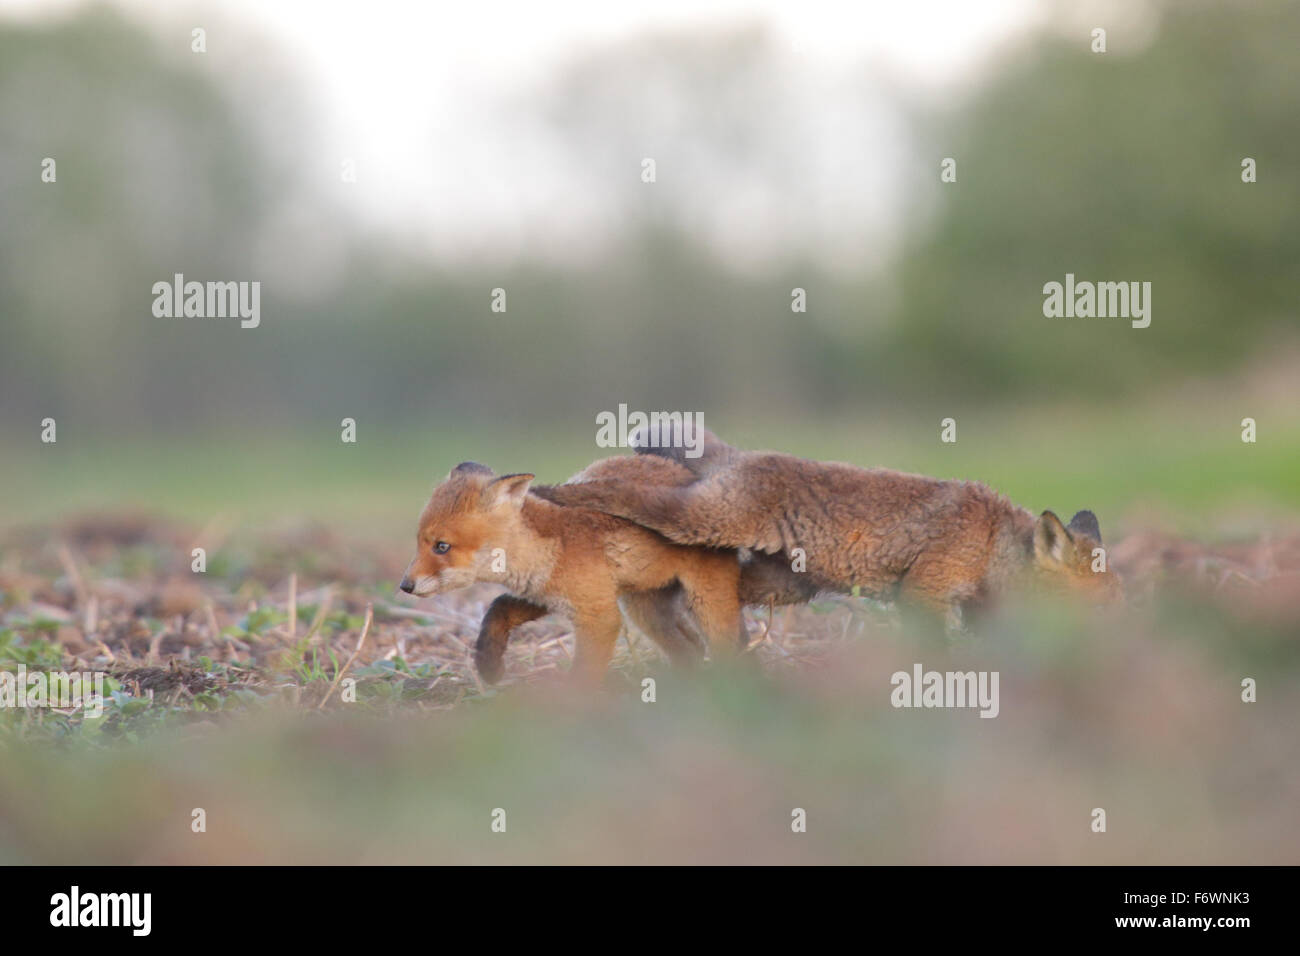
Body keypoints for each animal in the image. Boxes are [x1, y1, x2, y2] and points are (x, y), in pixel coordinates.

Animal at [398, 456, 750, 685]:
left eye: (442, 546)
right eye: (419, 542)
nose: (405, 586)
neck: (549, 548)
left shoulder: (599, 615)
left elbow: (585, 671)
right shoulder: (545, 593)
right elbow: (498, 608)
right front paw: (488, 663)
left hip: (705, 602)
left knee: (726, 649)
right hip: (646, 610)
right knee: (690, 651)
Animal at [532, 427, 1122, 629]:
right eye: (1097, 605)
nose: (1125, 642)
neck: (992, 545)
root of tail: (746, 455)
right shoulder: (923, 592)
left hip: (784, 586)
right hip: (702, 520)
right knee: (625, 496)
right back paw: (555, 492)